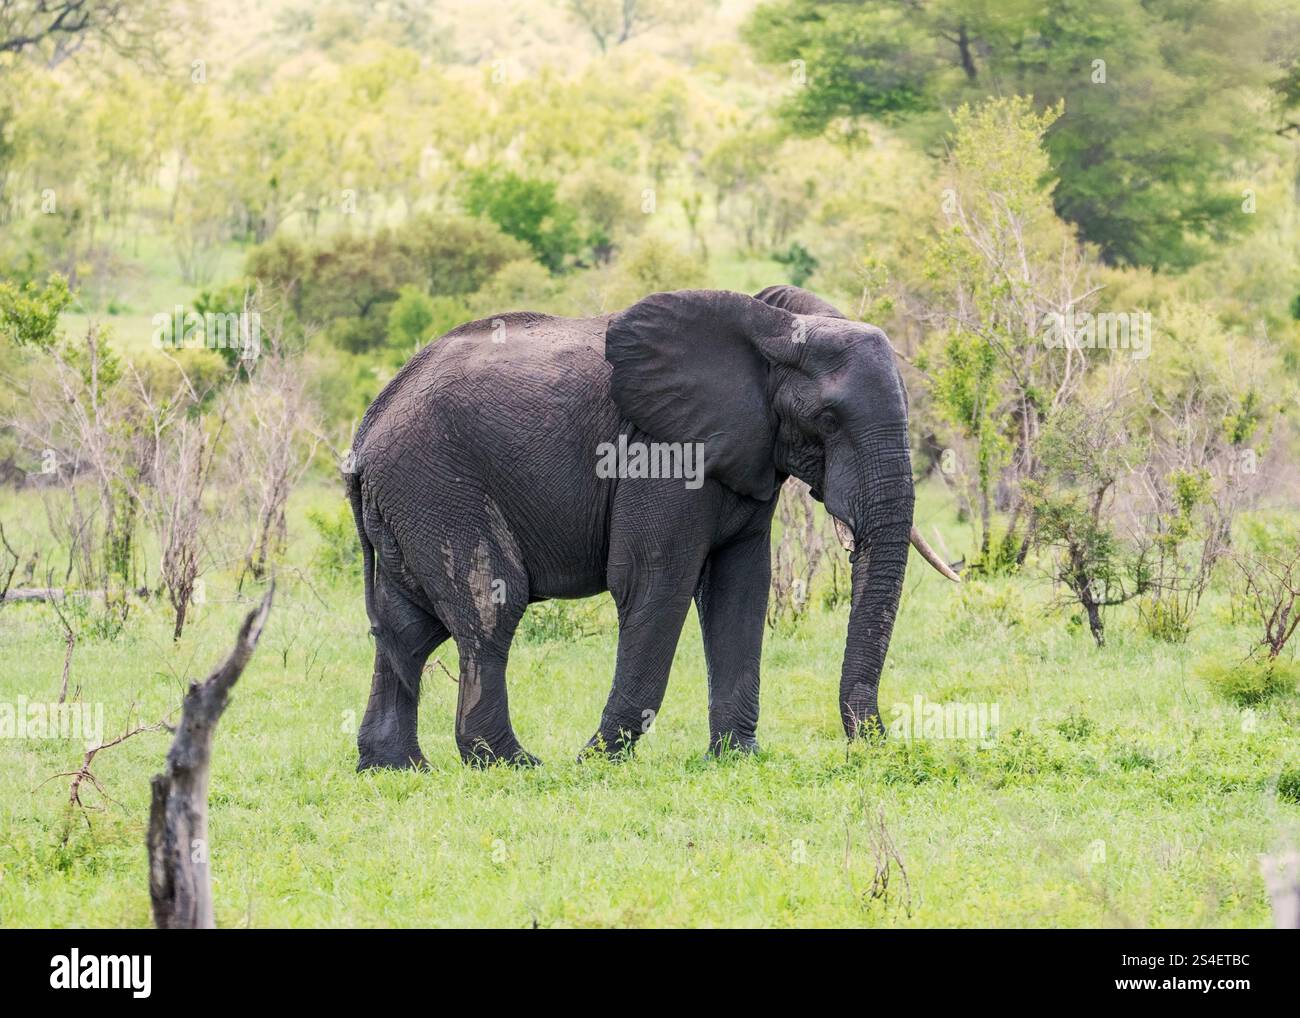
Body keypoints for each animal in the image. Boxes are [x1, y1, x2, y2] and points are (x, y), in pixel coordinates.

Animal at [345, 285, 958, 770]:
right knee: (490, 604)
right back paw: (513, 764)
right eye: (827, 420)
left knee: (406, 628)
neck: (773, 332)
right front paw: (595, 760)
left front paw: (735, 758)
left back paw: (398, 768)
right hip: (434, 483)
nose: (872, 742)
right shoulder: (660, 452)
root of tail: (366, 431)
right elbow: (654, 579)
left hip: (409, 502)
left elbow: (740, 586)